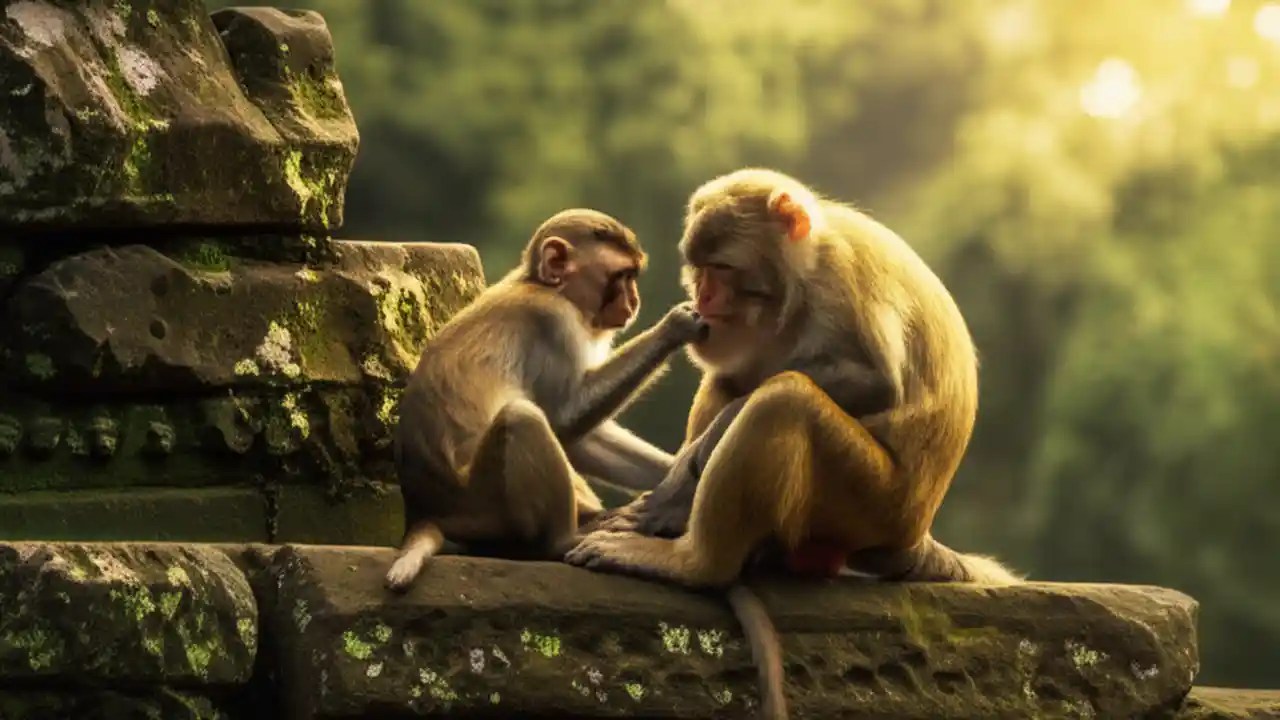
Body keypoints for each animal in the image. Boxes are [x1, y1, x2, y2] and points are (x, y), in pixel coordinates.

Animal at [384, 208, 707, 592]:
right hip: (487, 508)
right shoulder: (555, 321)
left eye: (632, 276)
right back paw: (563, 541)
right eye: (622, 276)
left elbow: (579, 439)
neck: (542, 285)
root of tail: (428, 511)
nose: (633, 302)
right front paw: (674, 327)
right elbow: (561, 416)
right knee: (522, 418)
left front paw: (678, 473)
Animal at [566, 169, 1021, 719]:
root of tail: (913, 533)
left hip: (867, 503)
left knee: (783, 399)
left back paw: (693, 561)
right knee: (733, 380)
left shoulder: (840, 283)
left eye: (722, 268)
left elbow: (875, 383)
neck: (804, 275)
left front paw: (700, 457)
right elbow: (734, 372)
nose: (706, 298)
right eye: (699, 269)